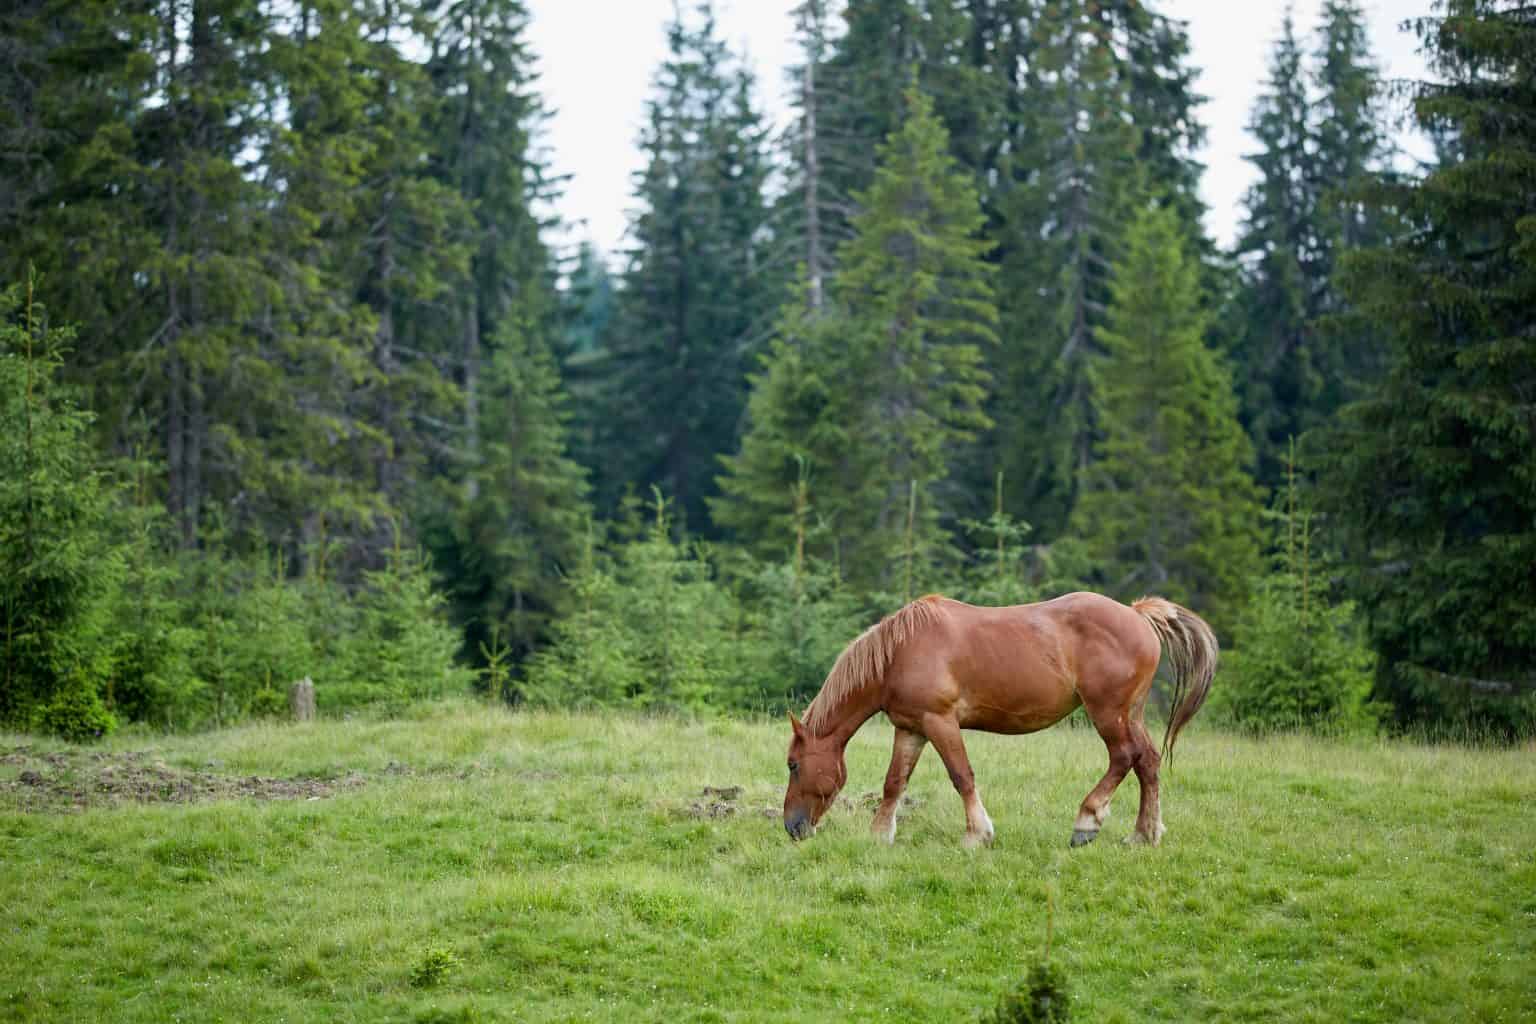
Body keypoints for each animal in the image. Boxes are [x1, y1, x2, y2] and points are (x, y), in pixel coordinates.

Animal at [781, 591, 1217, 848]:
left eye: (793, 764)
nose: (792, 827)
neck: (901, 651)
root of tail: (1138, 615)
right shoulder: (910, 728)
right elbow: (894, 782)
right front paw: (879, 835)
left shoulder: (940, 722)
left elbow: (961, 775)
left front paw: (977, 835)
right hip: (1131, 713)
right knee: (1148, 762)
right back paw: (1145, 834)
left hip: (1108, 713)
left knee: (1124, 757)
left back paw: (1086, 823)